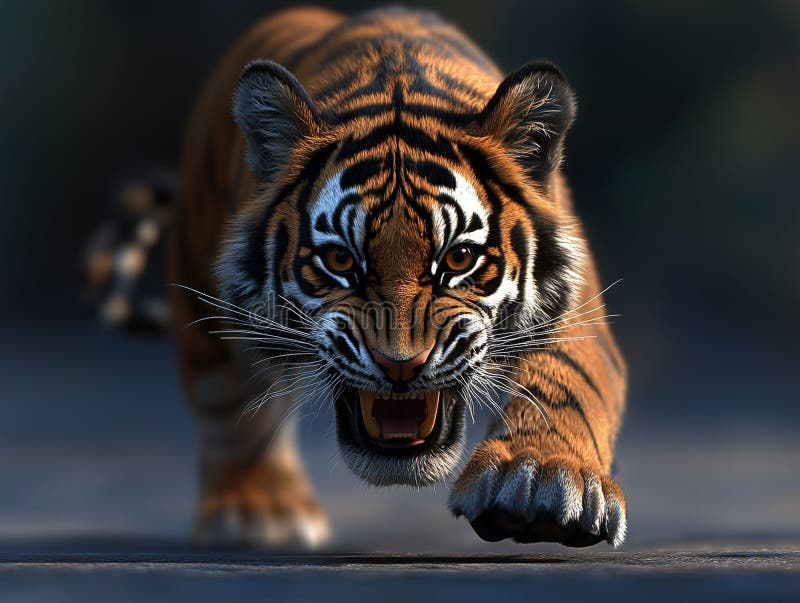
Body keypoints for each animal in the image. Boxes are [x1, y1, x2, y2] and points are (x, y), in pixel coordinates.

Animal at [167, 5, 627, 549]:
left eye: (459, 259)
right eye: (340, 260)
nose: (401, 366)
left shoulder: (574, 305)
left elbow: (565, 381)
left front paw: (541, 478)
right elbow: (241, 416)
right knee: (231, 408)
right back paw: (257, 510)